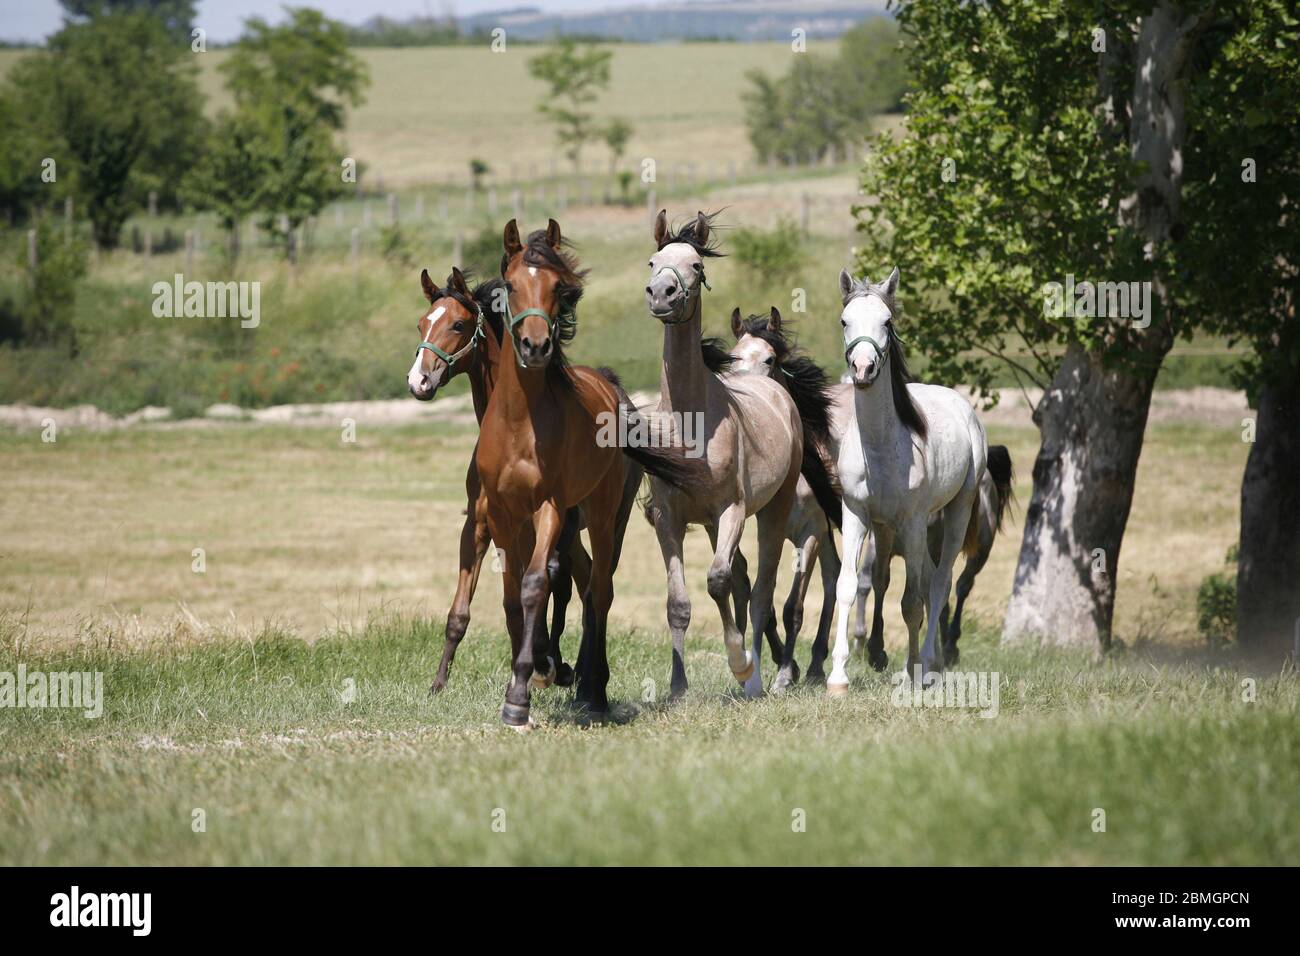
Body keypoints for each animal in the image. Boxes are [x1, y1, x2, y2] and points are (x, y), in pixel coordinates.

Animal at [476, 218, 707, 728]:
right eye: (510, 286)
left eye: (557, 288)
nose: (536, 346)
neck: (520, 424)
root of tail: (611, 387)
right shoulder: (502, 513)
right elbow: (510, 594)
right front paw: (526, 677)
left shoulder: (550, 509)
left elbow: (535, 585)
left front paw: (521, 695)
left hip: (602, 516)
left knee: (600, 590)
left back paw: (594, 691)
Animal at [643, 210, 836, 698]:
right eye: (653, 261)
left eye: (696, 266)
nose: (661, 294)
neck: (692, 422)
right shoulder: (670, 518)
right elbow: (679, 602)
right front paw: (677, 688)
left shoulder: (731, 510)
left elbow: (718, 583)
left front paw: (741, 664)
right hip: (716, 527)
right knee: (746, 585)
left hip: (771, 514)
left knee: (765, 590)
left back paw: (760, 679)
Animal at [727, 307, 852, 691]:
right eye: (733, 358)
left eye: (770, 360)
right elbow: (762, 600)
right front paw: (787, 665)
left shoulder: (809, 533)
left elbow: (791, 607)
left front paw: (783, 675)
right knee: (833, 577)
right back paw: (814, 665)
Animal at [828, 267, 988, 691]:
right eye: (845, 321)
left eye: (887, 322)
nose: (863, 369)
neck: (883, 446)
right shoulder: (856, 516)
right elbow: (848, 587)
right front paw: (838, 677)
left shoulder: (914, 523)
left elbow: (913, 601)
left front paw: (913, 671)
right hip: (885, 529)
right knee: (896, 580)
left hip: (956, 512)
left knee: (940, 583)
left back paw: (928, 664)